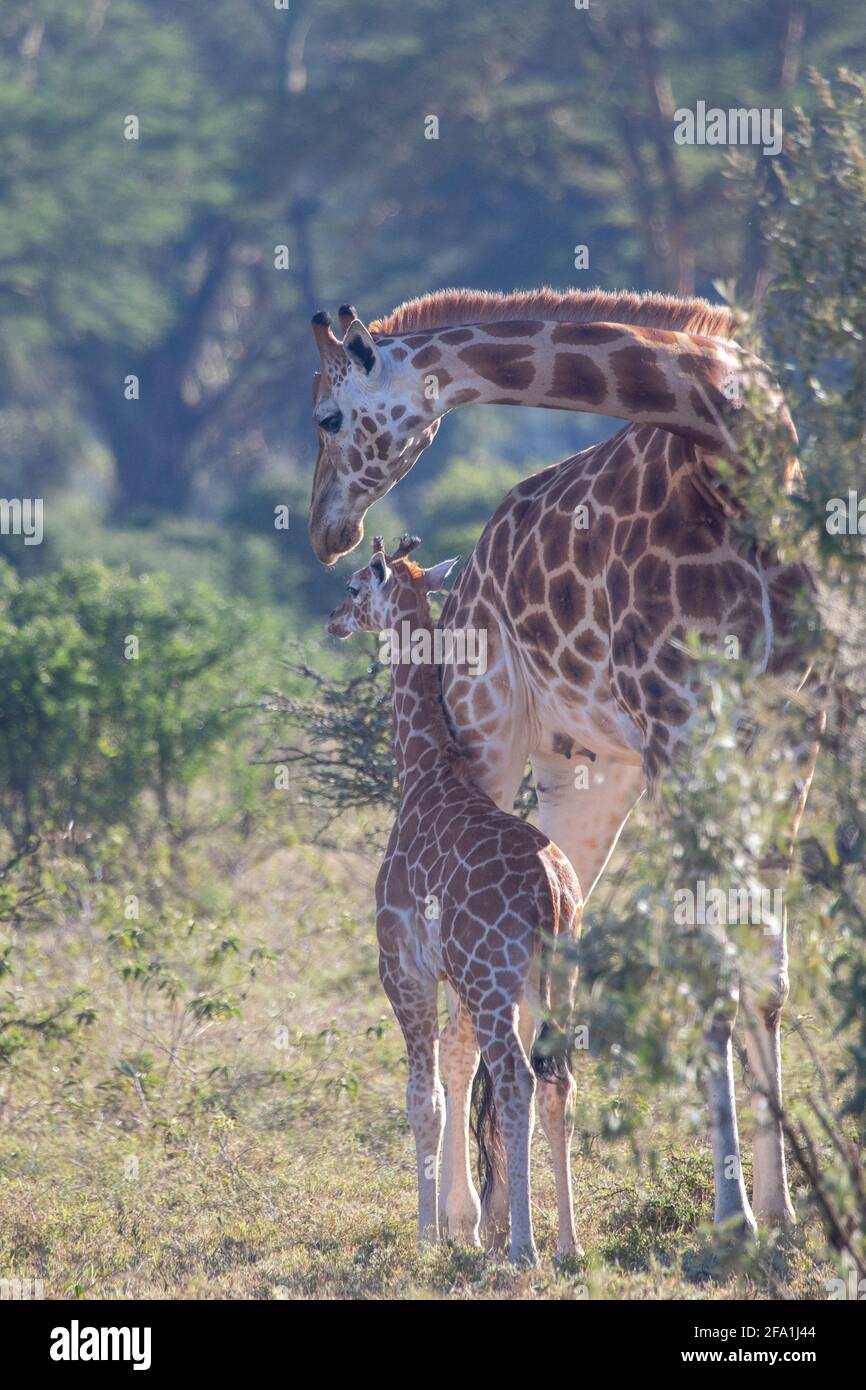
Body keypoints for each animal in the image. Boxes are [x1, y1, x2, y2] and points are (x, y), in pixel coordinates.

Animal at [325, 534, 583, 1265]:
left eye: (354, 587)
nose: (332, 620)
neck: (425, 769)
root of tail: (552, 893)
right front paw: (450, 1228)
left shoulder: (403, 965)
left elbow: (424, 1100)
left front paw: (425, 1235)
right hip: (556, 977)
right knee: (559, 1083)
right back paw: (568, 1244)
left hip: (493, 980)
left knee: (519, 1080)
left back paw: (524, 1247)